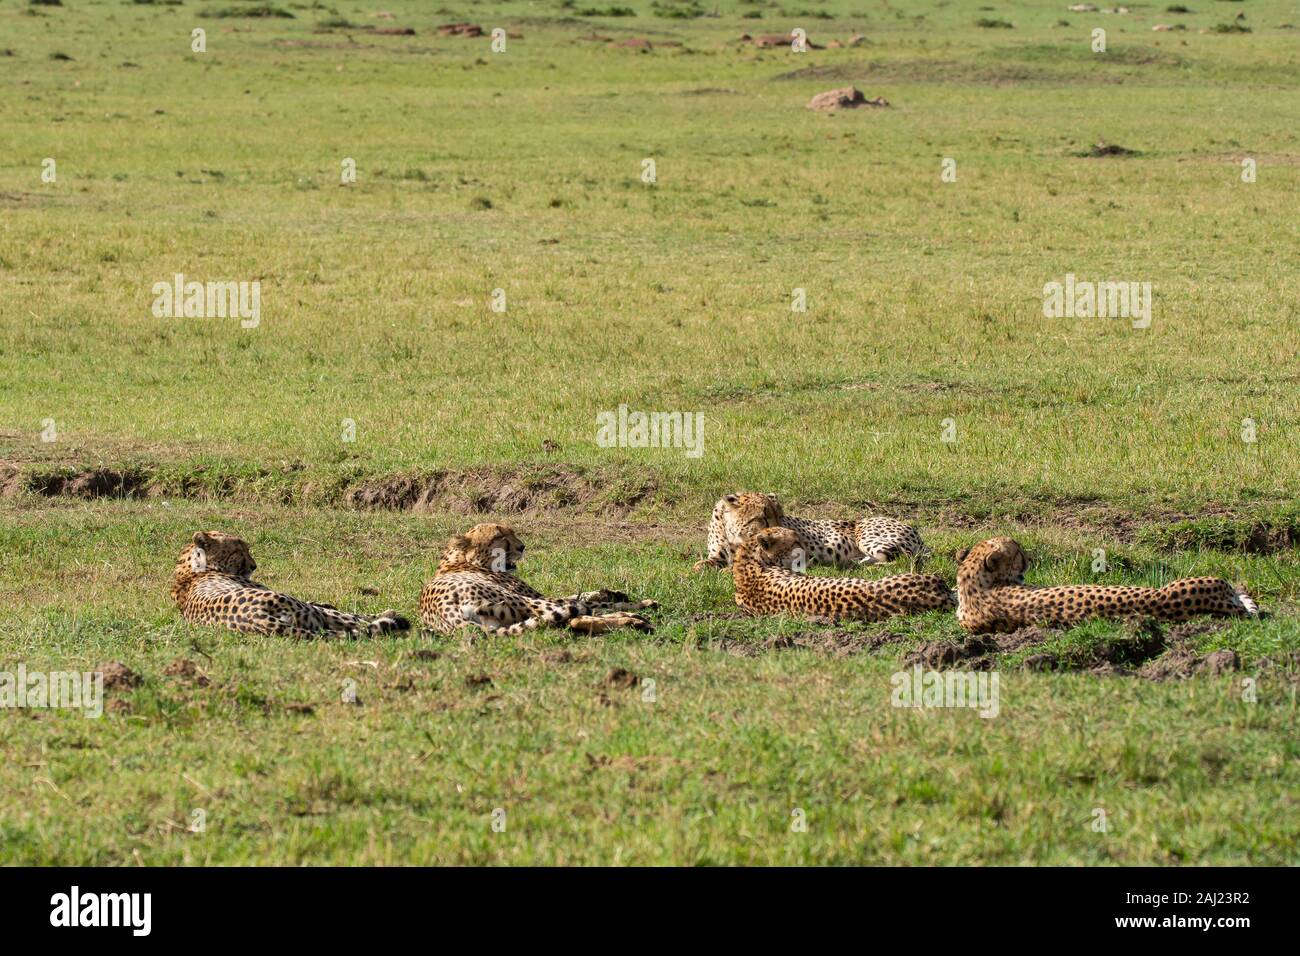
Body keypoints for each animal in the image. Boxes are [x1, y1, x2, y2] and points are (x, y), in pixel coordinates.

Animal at [172, 531, 410, 638]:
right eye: (238, 550)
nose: (254, 565)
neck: (190, 570)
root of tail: (257, 619)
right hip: (309, 614)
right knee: (354, 622)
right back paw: (392, 616)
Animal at [419, 523, 656, 636]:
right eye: (499, 537)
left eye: (512, 531)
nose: (522, 547)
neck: (461, 558)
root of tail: (446, 613)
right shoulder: (533, 595)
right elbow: (588, 601)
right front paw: (641, 603)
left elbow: (582, 595)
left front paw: (612, 592)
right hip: (521, 601)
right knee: (574, 615)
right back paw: (632, 618)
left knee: (570, 617)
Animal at [694, 491, 929, 572]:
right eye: (763, 517)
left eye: (780, 516)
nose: (780, 528)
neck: (731, 534)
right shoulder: (717, 555)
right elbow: (699, 565)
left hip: (868, 537)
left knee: (903, 558)